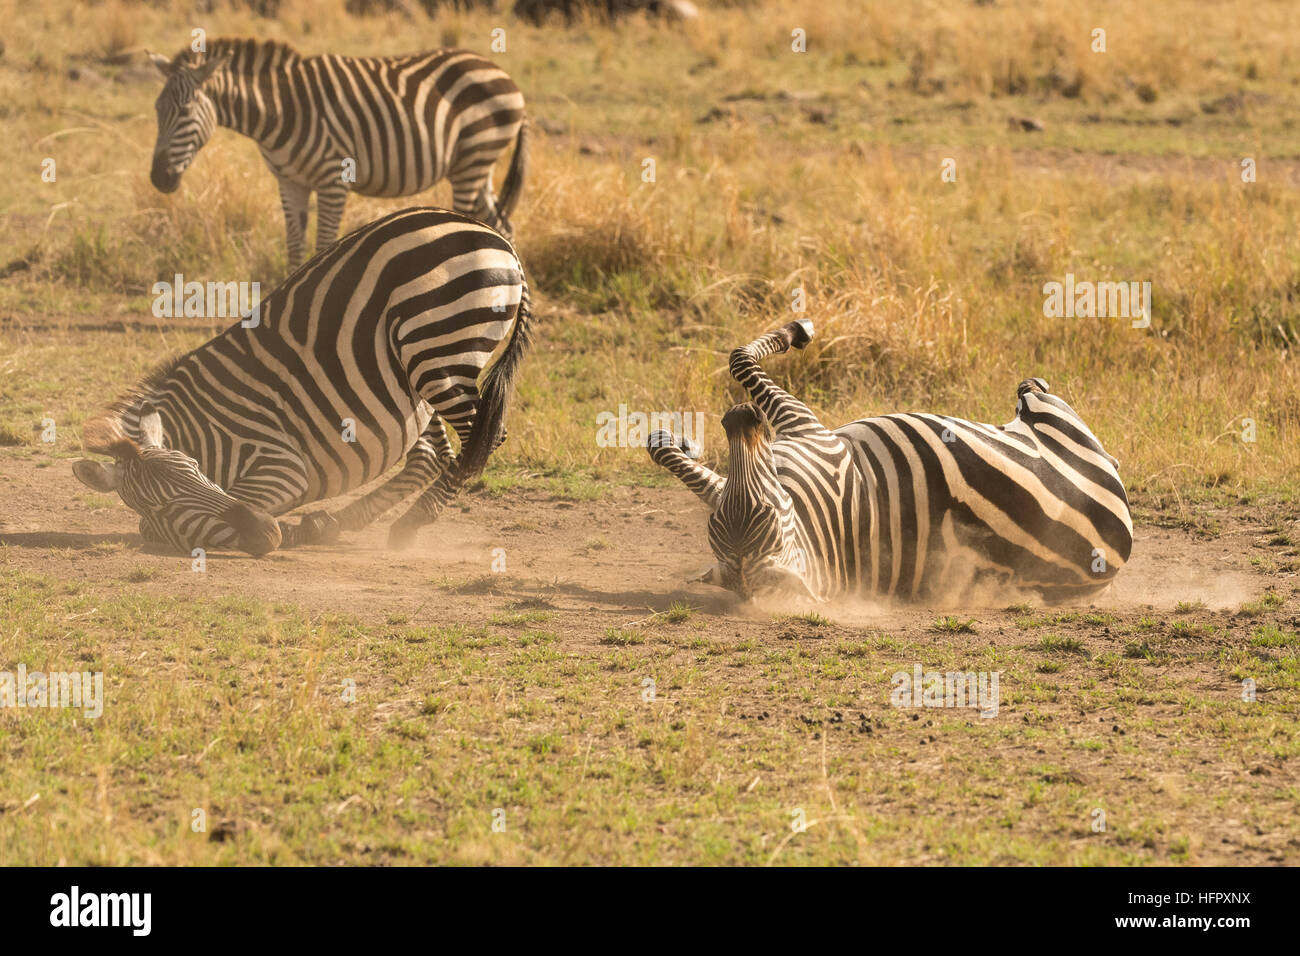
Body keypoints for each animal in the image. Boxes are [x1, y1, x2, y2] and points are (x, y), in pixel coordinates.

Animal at [71, 207, 533, 556]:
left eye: (197, 471)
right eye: (166, 500)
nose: (266, 530)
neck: (207, 436)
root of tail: (496, 237)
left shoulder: (283, 465)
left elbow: (191, 518)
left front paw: (286, 530)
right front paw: (302, 527)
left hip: (435, 350)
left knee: (482, 437)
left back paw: (410, 522)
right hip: (416, 374)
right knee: (432, 454)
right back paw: (350, 520)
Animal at [147, 38, 527, 270]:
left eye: (184, 111)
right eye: (156, 109)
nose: (158, 178)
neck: (281, 110)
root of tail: (506, 76)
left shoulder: (333, 179)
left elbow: (323, 245)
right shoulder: (290, 182)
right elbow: (295, 247)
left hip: (473, 158)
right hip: (479, 165)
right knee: (501, 226)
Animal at [646, 320, 1133, 603]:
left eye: (760, 513)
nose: (737, 417)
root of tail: (1111, 559)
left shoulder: (780, 449)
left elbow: (662, 446)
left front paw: (675, 439)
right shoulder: (807, 431)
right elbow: (739, 360)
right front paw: (796, 330)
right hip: (1054, 419)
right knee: (1035, 396)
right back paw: (1036, 388)